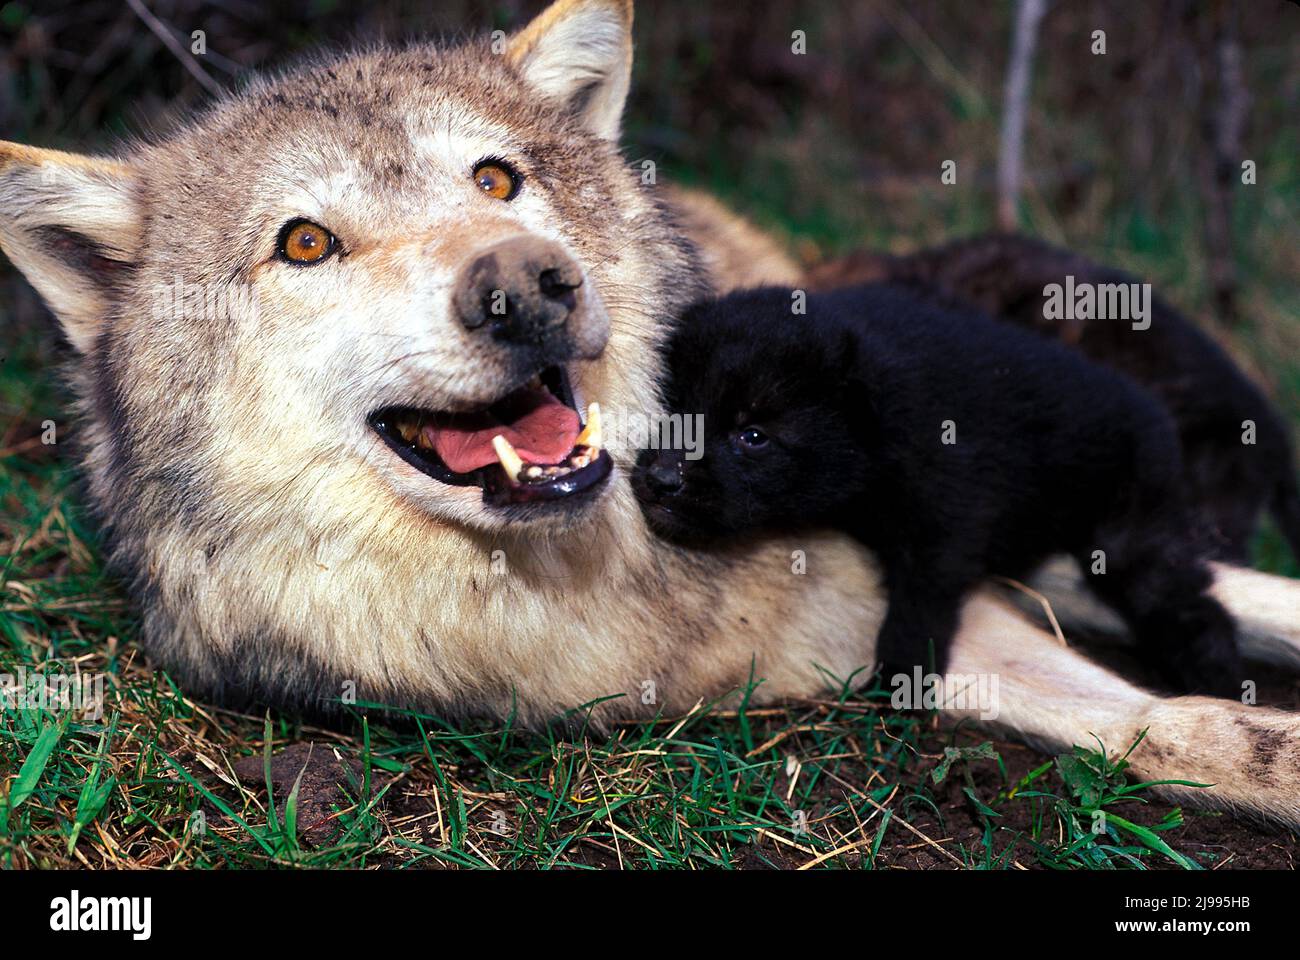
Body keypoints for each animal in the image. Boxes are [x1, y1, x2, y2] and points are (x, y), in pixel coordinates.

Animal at [3, 0, 1300, 824]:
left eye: (496, 179)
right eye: (305, 244)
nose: (527, 285)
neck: (623, 578)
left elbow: (1204, 710)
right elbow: (1166, 724)